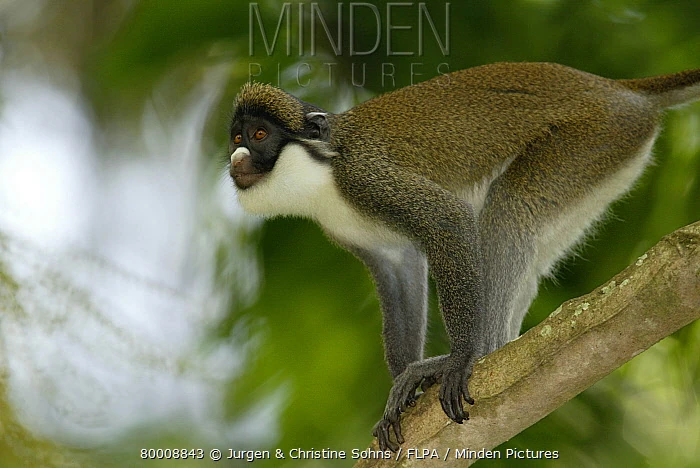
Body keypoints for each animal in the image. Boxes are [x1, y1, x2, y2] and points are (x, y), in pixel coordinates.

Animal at [227, 62, 700, 451]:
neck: (321, 176)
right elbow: (401, 272)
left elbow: (449, 220)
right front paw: (403, 390)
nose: (236, 159)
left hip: (596, 138)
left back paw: (485, 352)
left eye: (259, 136)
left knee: (511, 204)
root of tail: (620, 89)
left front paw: (458, 359)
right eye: (235, 138)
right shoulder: (367, 240)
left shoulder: (365, 176)